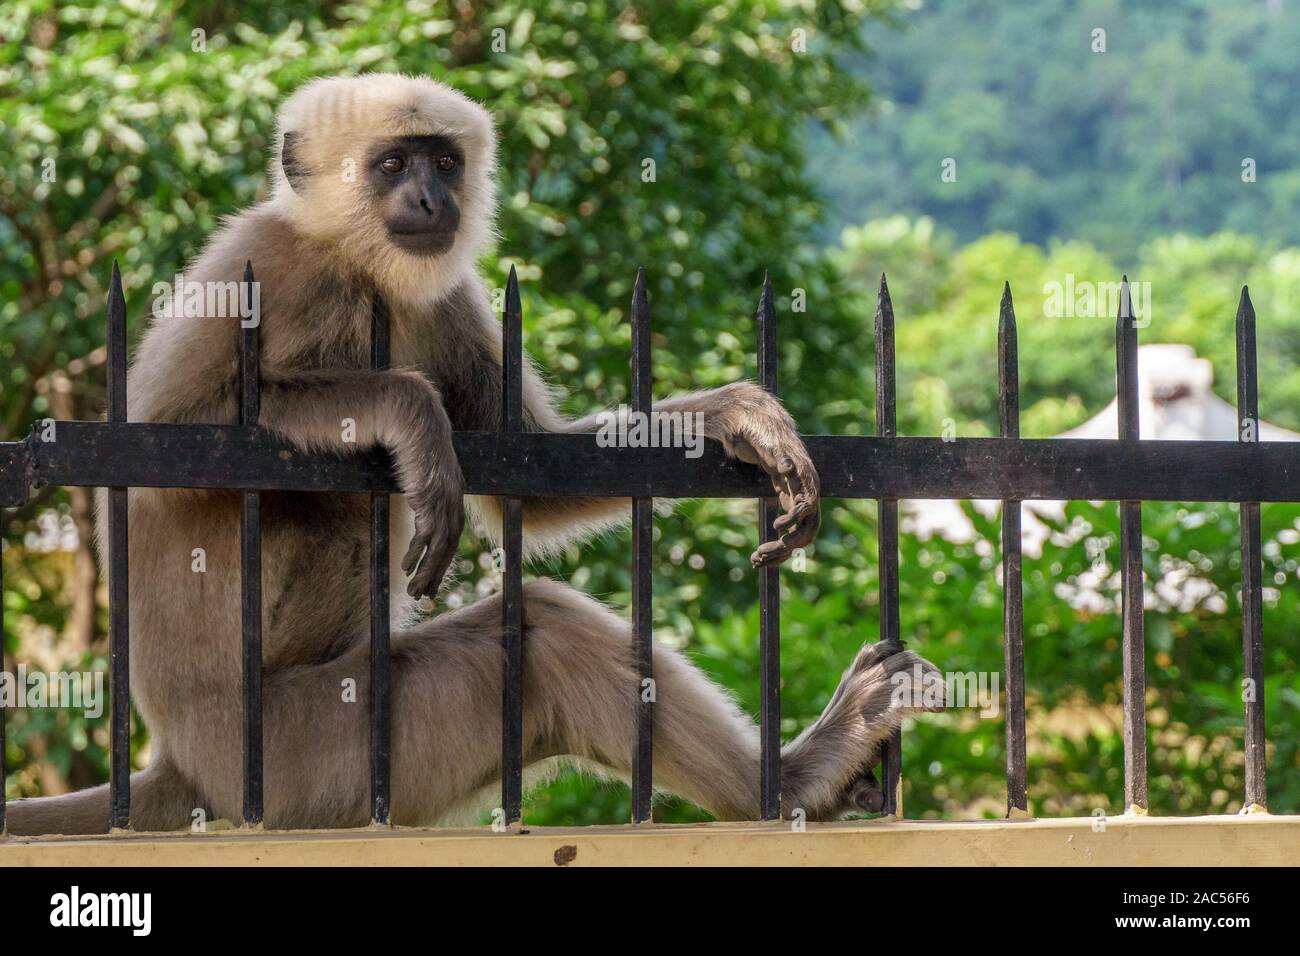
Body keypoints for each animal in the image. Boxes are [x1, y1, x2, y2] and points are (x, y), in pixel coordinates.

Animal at [7, 74, 942, 835]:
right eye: (392, 165)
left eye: (443, 162)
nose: (429, 198)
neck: (358, 260)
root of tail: (181, 762)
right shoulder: (271, 262)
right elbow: (161, 454)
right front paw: (410, 413)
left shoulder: (445, 299)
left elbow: (539, 479)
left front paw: (734, 417)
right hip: (304, 756)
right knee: (539, 634)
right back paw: (790, 783)